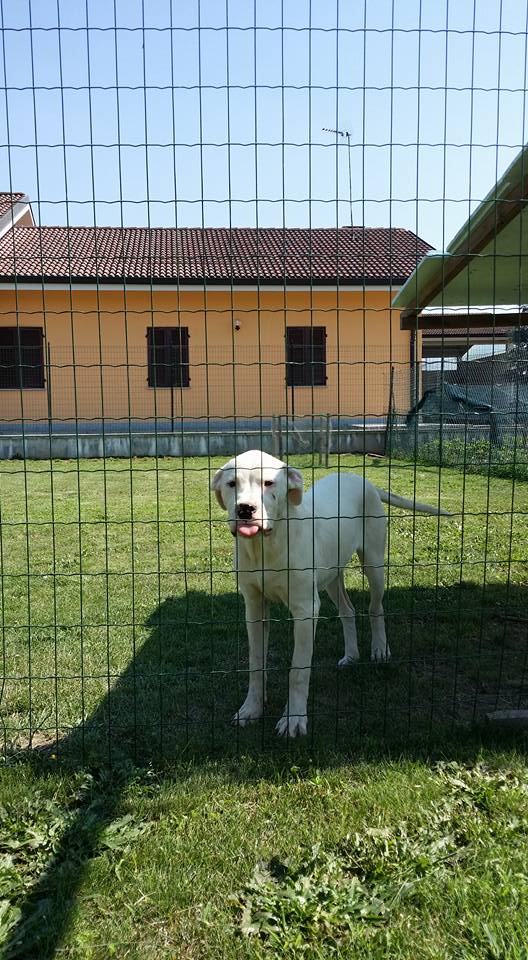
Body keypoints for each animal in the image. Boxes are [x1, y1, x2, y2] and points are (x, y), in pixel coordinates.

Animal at [210, 448, 450, 736]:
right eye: (231, 484)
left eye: (268, 483)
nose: (245, 509)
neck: (267, 545)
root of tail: (363, 480)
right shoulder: (254, 607)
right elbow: (256, 664)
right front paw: (251, 709)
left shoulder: (305, 609)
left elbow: (298, 670)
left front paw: (294, 719)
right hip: (331, 577)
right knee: (348, 610)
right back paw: (351, 655)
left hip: (373, 563)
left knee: (375, 607)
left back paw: (380, 649)